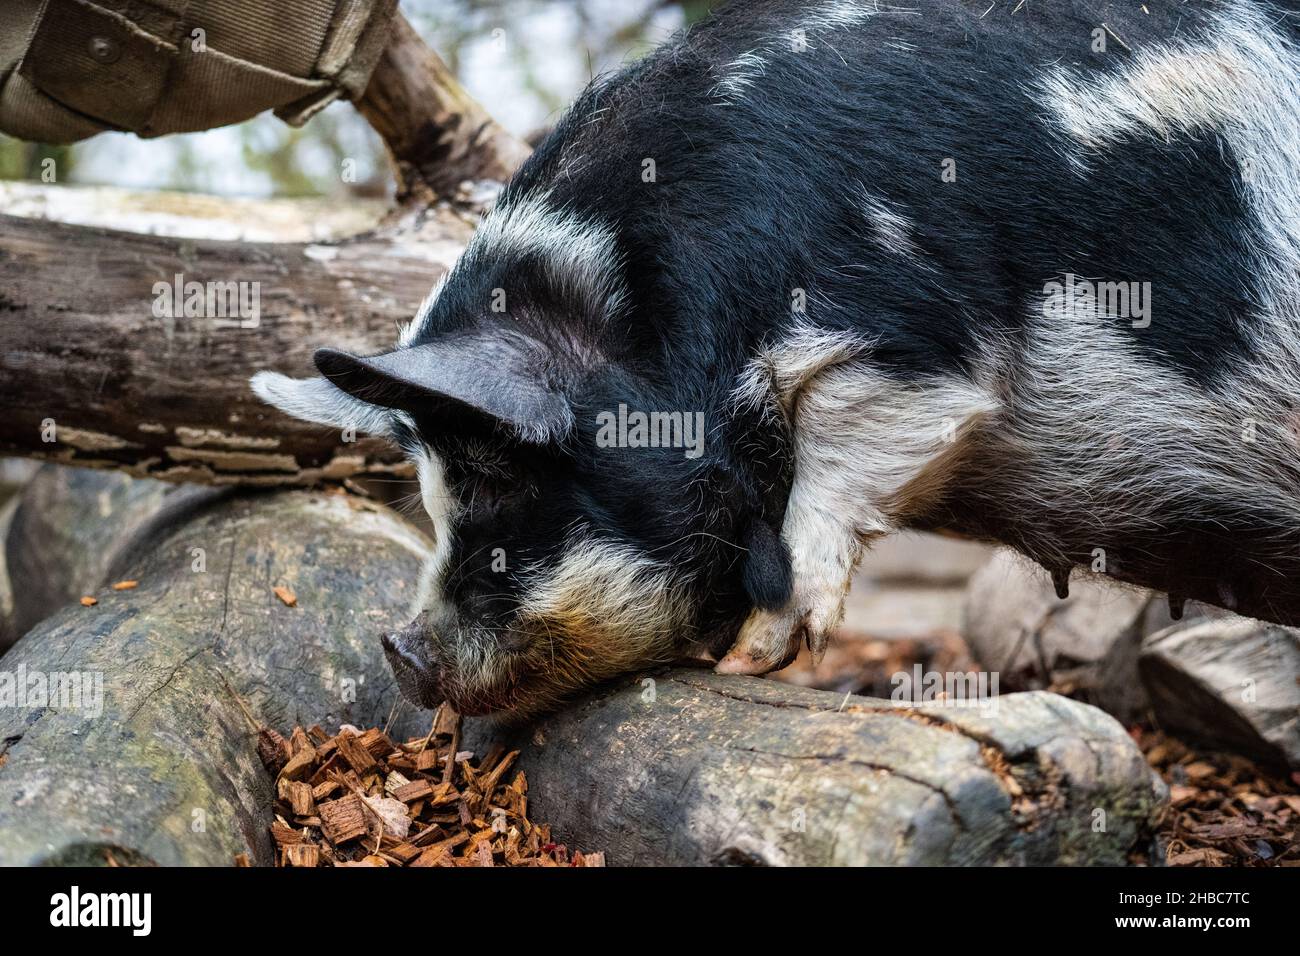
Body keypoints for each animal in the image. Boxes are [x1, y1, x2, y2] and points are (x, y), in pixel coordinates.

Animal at [253, 0, 1300, 717]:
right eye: (430, 490)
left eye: (498, 476)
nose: (400, 651)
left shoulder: (904, 332)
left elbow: (847, 455)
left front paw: (750, 658)